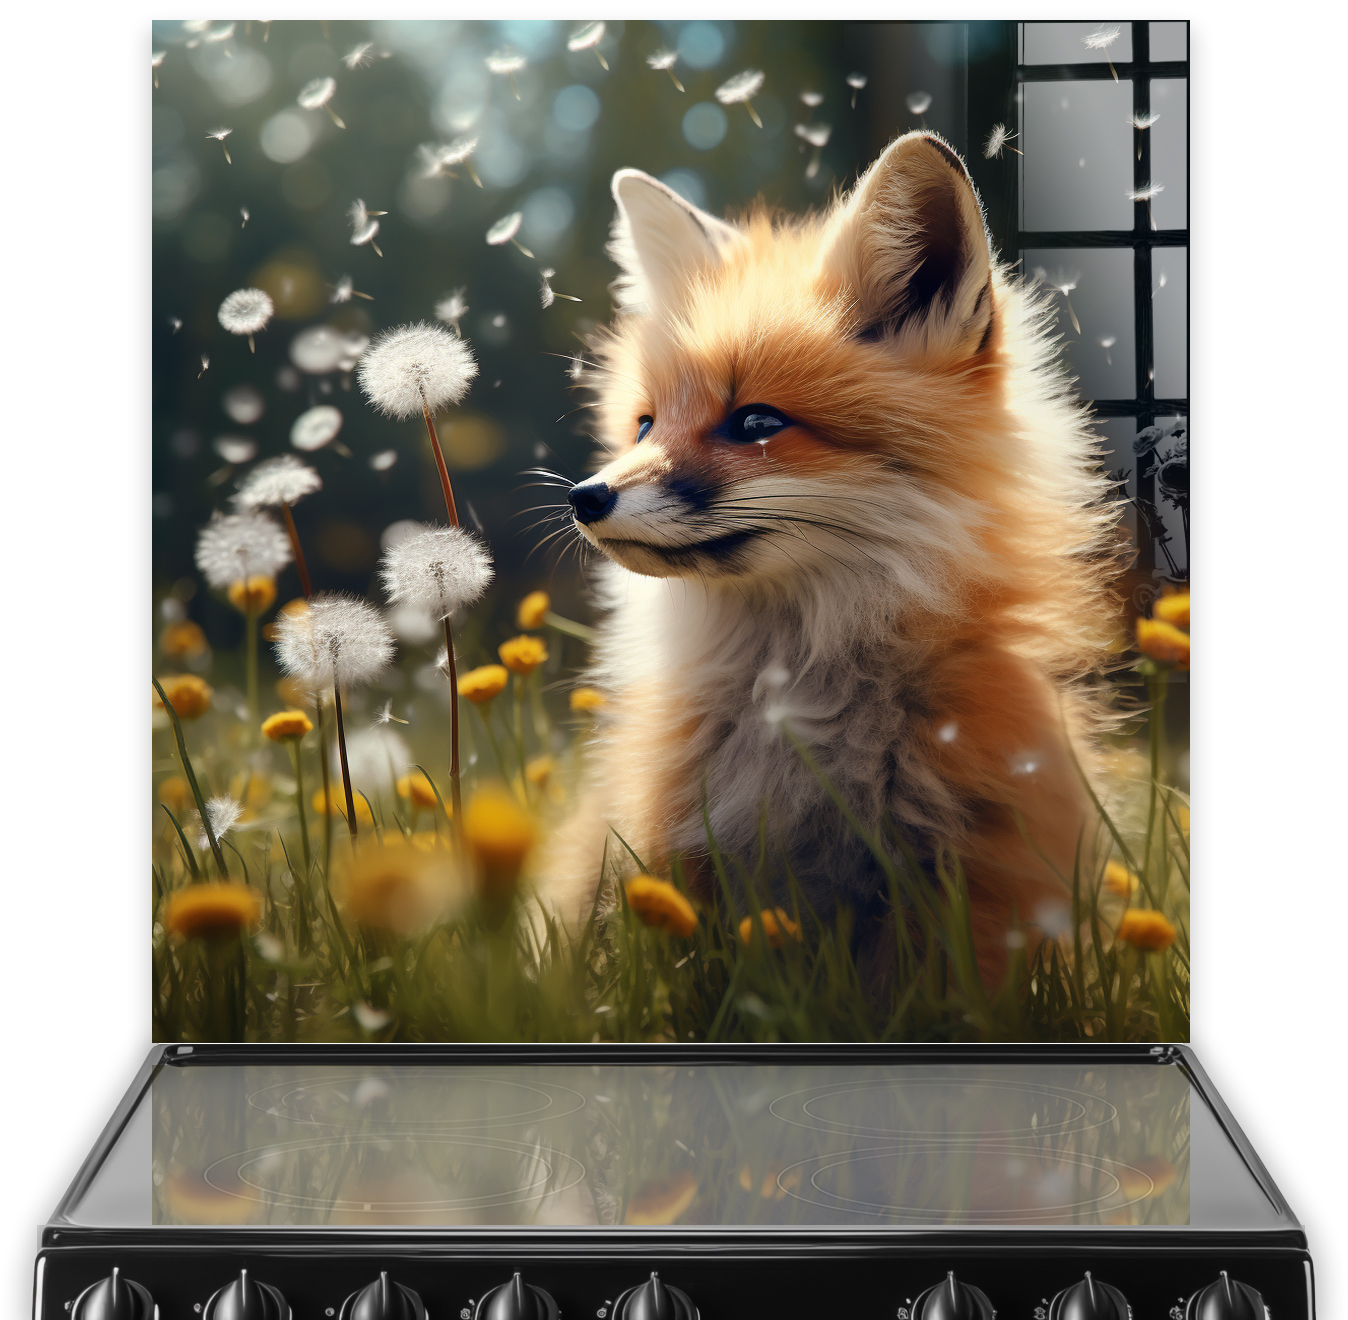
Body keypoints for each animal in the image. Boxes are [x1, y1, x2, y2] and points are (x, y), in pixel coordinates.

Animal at [543, 130, 1121, 987]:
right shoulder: (674, 873)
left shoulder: (977, 890)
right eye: (645, 426)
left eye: (756, 423)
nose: (586, 498)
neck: (801, 712)